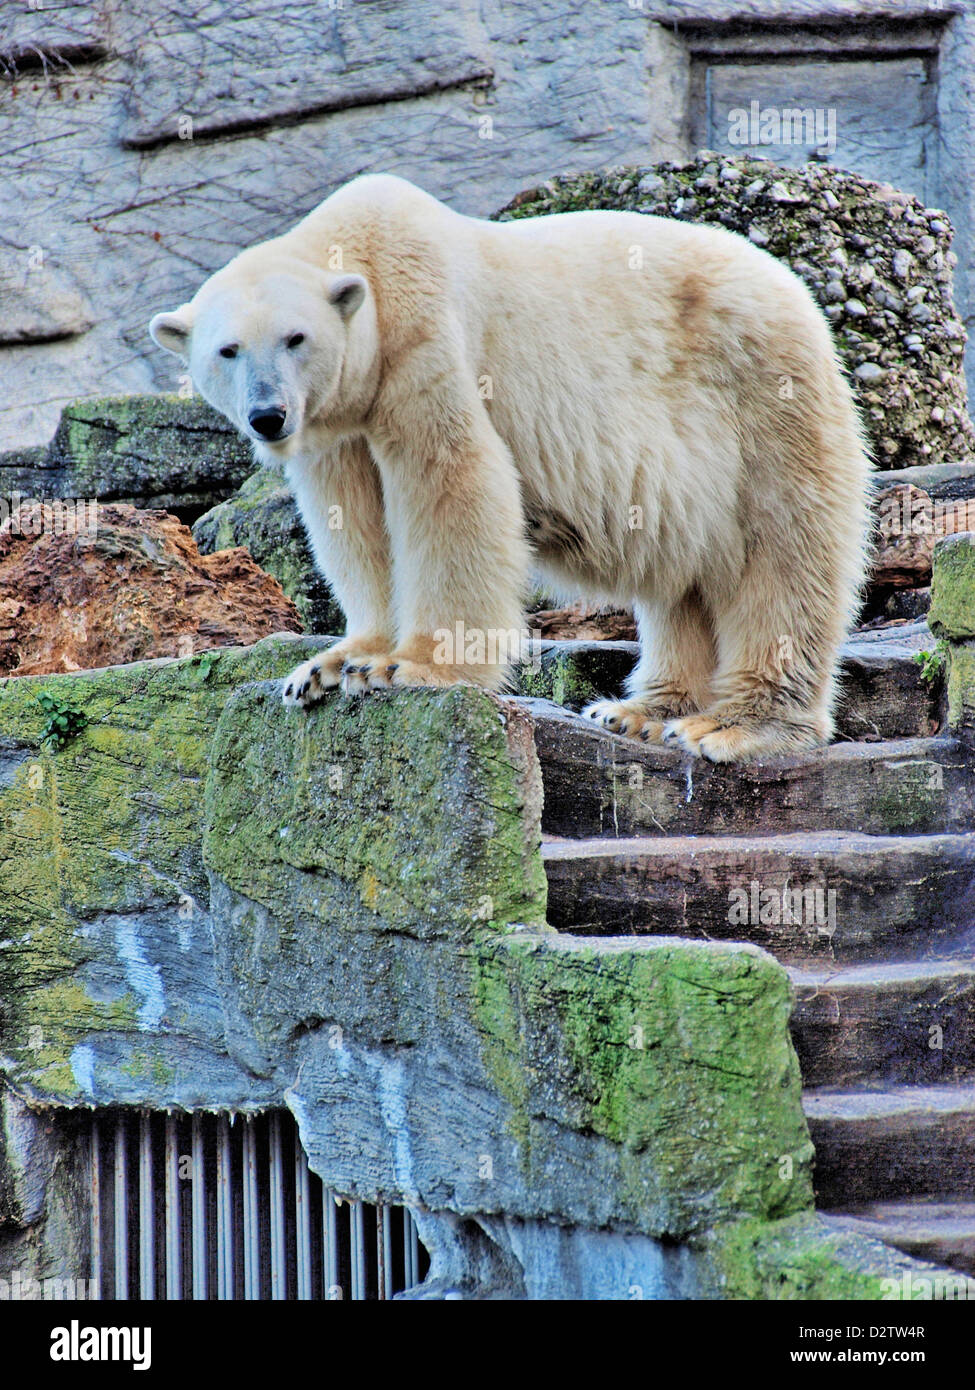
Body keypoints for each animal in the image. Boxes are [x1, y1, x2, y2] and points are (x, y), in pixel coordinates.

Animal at [149, 172, 871, 762]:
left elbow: (452, 484)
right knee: (683, 578)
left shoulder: (426, 343)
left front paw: (406, 668)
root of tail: (796, 290)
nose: (268, 416)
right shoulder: (341, 425)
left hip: (761, 397)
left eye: (295, 339)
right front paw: (327, 668)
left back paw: (732, 726)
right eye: (227, 350)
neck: (370, 254)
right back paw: (636, 711)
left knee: (782, 554)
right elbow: (352, 518)